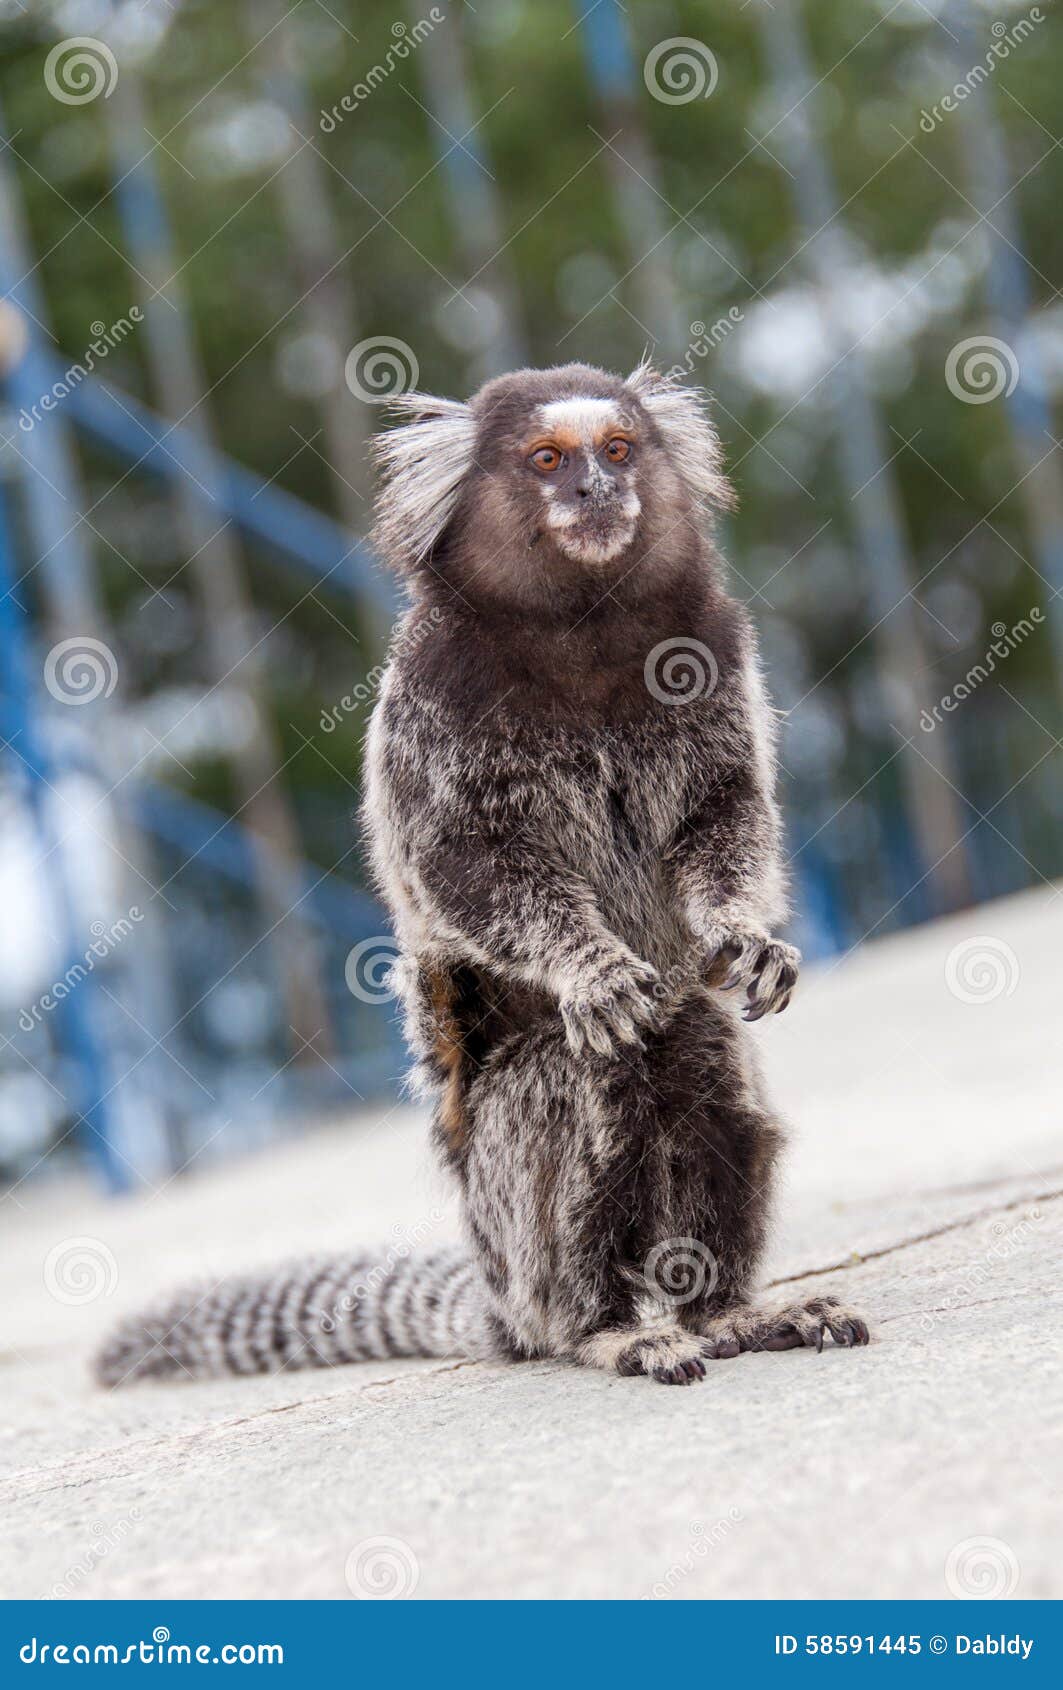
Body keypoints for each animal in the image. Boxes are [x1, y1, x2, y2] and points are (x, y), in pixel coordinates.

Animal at [96, 360, 869, 1390]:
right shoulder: (431, 700)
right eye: (547, 460)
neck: (581, 632)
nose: (596, 489)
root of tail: (499, 1304)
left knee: (708, 1064)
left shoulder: (714, 653)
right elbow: (464, 868)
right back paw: (609, 1328)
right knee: (586, 1078)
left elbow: (725, 815)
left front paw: (742, 935)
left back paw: (729, 1312)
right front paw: (590, 970)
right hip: (505, 1211)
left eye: (617, 448)